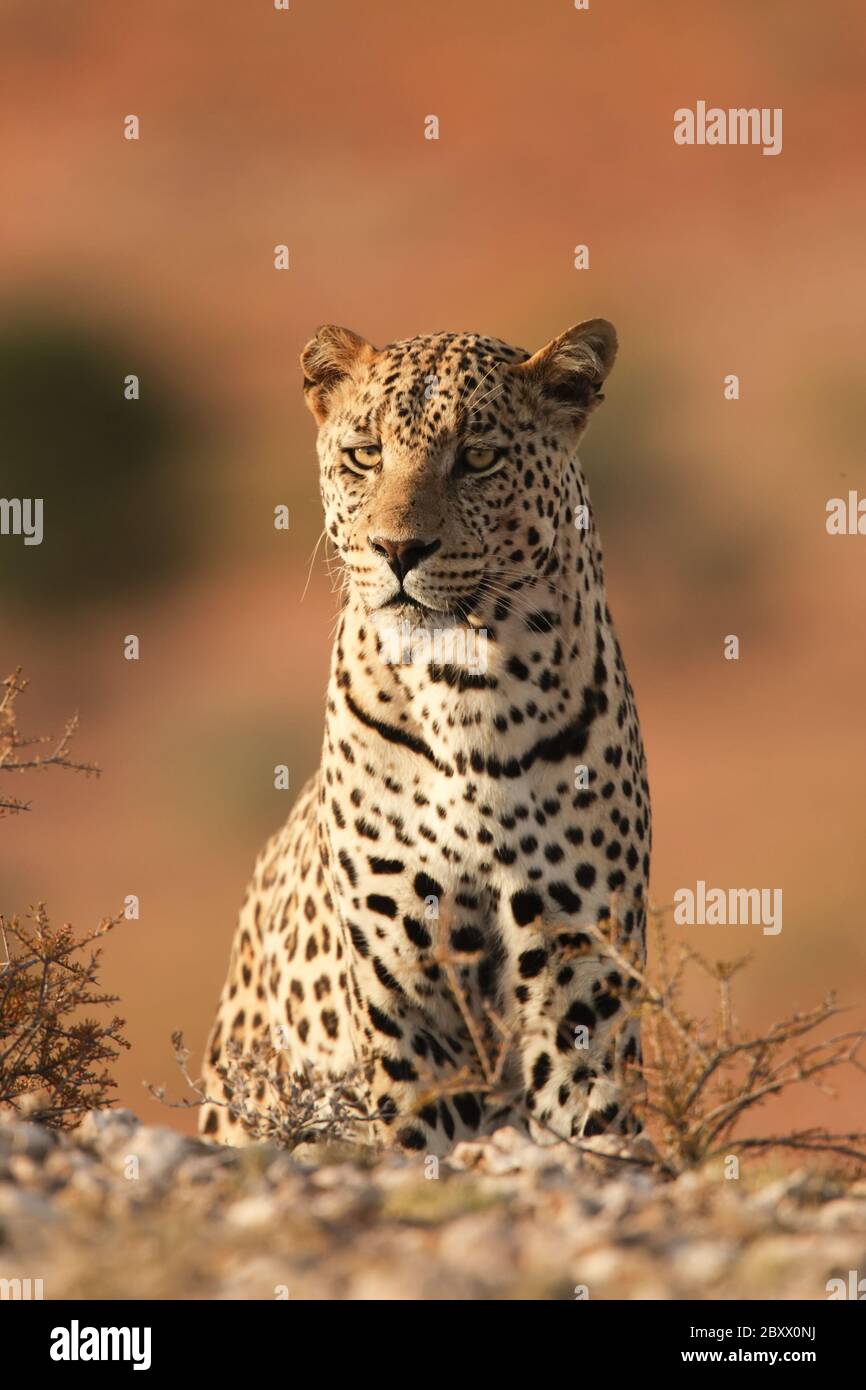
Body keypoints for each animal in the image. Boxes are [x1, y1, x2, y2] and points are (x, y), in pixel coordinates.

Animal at [200, 317, 651, 1156]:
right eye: (364, 455)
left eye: (477, 458)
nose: (398, 550)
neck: (465, 691)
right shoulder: (405, 970)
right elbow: (422, 1128)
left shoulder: (579, 964)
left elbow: (590, 1115)